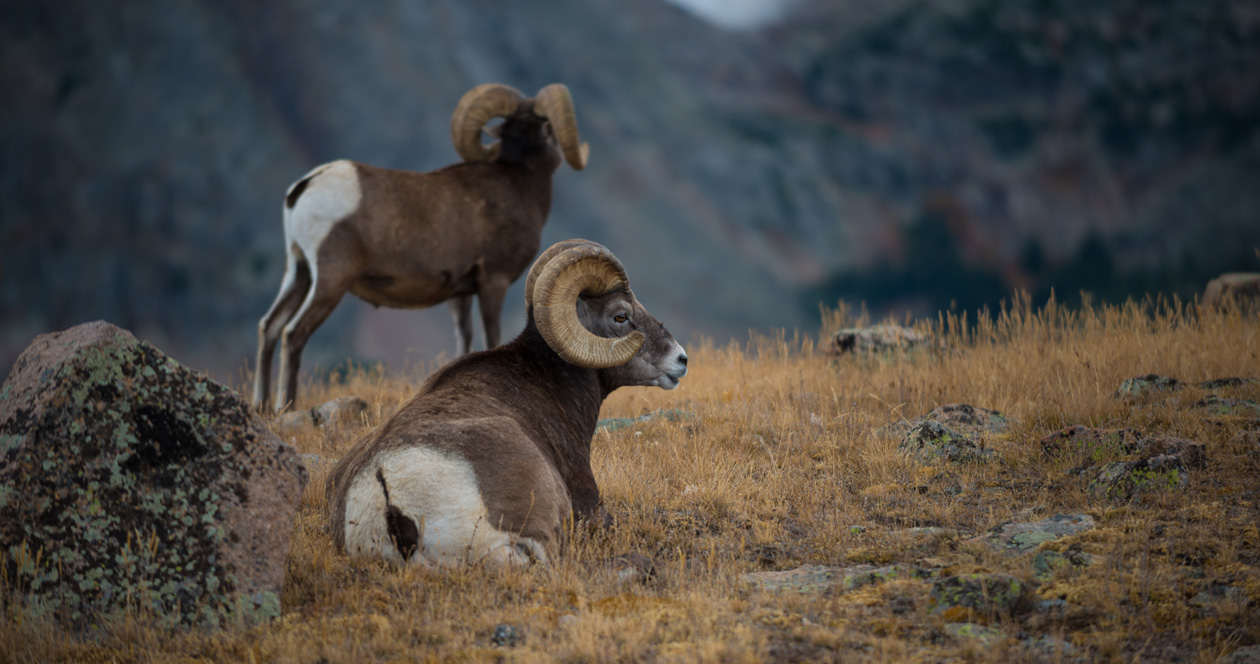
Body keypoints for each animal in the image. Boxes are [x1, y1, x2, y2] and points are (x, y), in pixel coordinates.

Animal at [253, 83, 590, 412]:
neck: (519, 183)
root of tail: (305, 186)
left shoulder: (459, 294)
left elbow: (464, 340)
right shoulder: (493, 282)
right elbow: (491, 337)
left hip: (298, 273)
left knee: (270, 327)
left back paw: (262, 405)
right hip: (329, 281)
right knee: (293, 333)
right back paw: (287, 406)